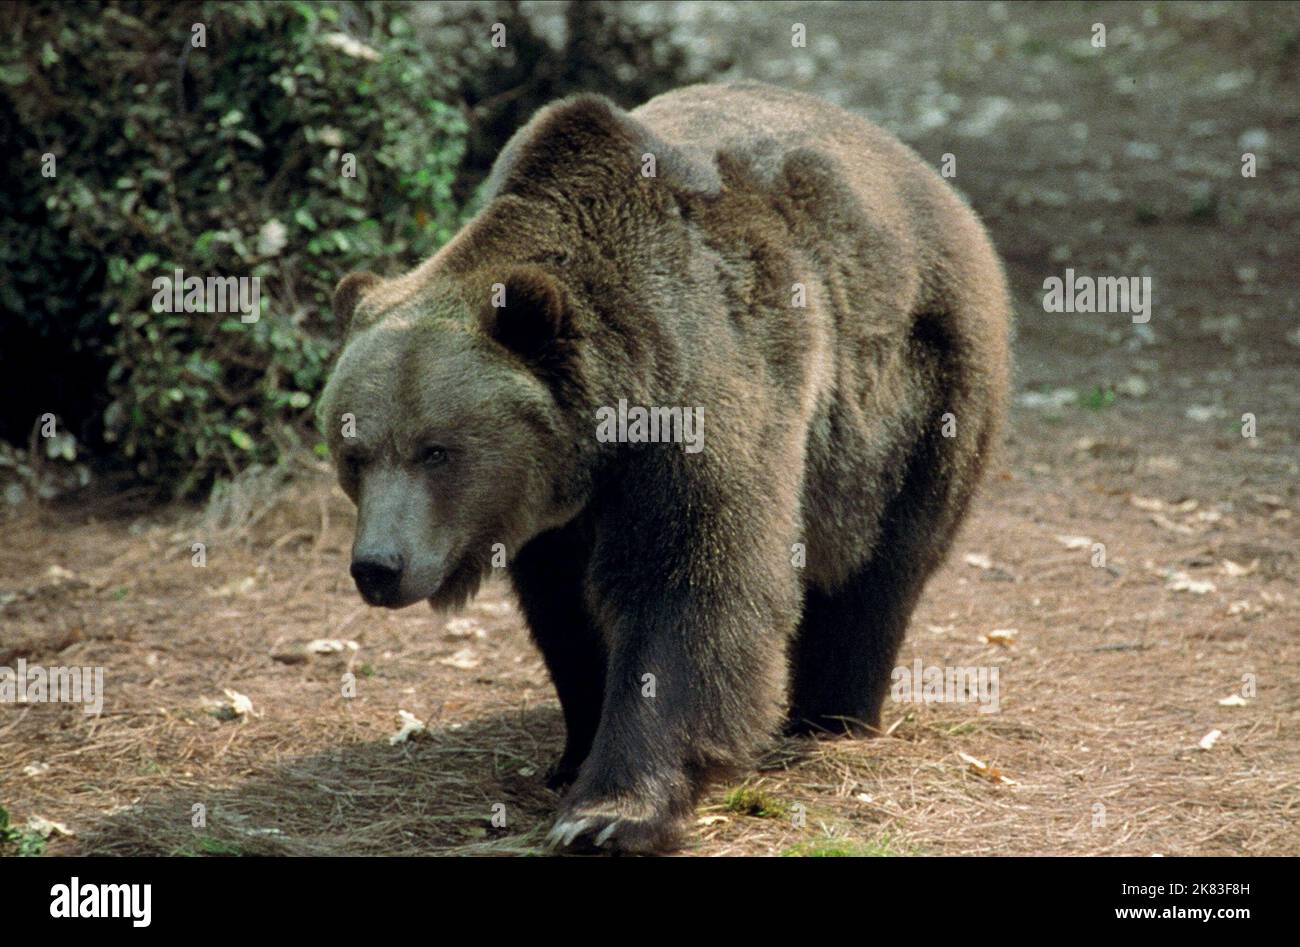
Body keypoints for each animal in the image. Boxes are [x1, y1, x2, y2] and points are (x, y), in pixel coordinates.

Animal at [317, 81, 1011, 853]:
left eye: (436, 449)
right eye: (354, 452)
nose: (379, 566)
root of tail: (913, 164)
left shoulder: (705, 398)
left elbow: (691, 589)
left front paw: (610, 811)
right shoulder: (555, 508)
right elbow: (565, 608)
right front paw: (574, 754)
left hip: (917, 391)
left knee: (880, 571)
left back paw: (830, 716)